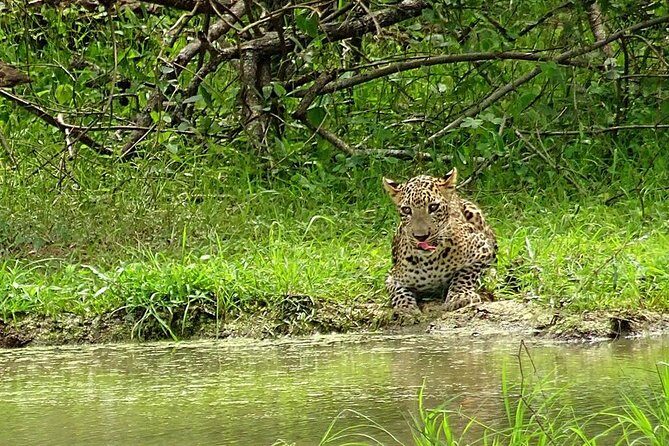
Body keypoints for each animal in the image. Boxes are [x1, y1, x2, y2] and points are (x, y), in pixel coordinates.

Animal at [382, 169, 497, 312]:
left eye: (433, 207)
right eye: (406, 210)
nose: (420, 236)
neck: (429, 262)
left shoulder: (482, 248)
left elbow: (463, 275)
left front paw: (460, 296)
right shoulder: (392, 277)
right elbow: (399, 291)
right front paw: (405, 308)